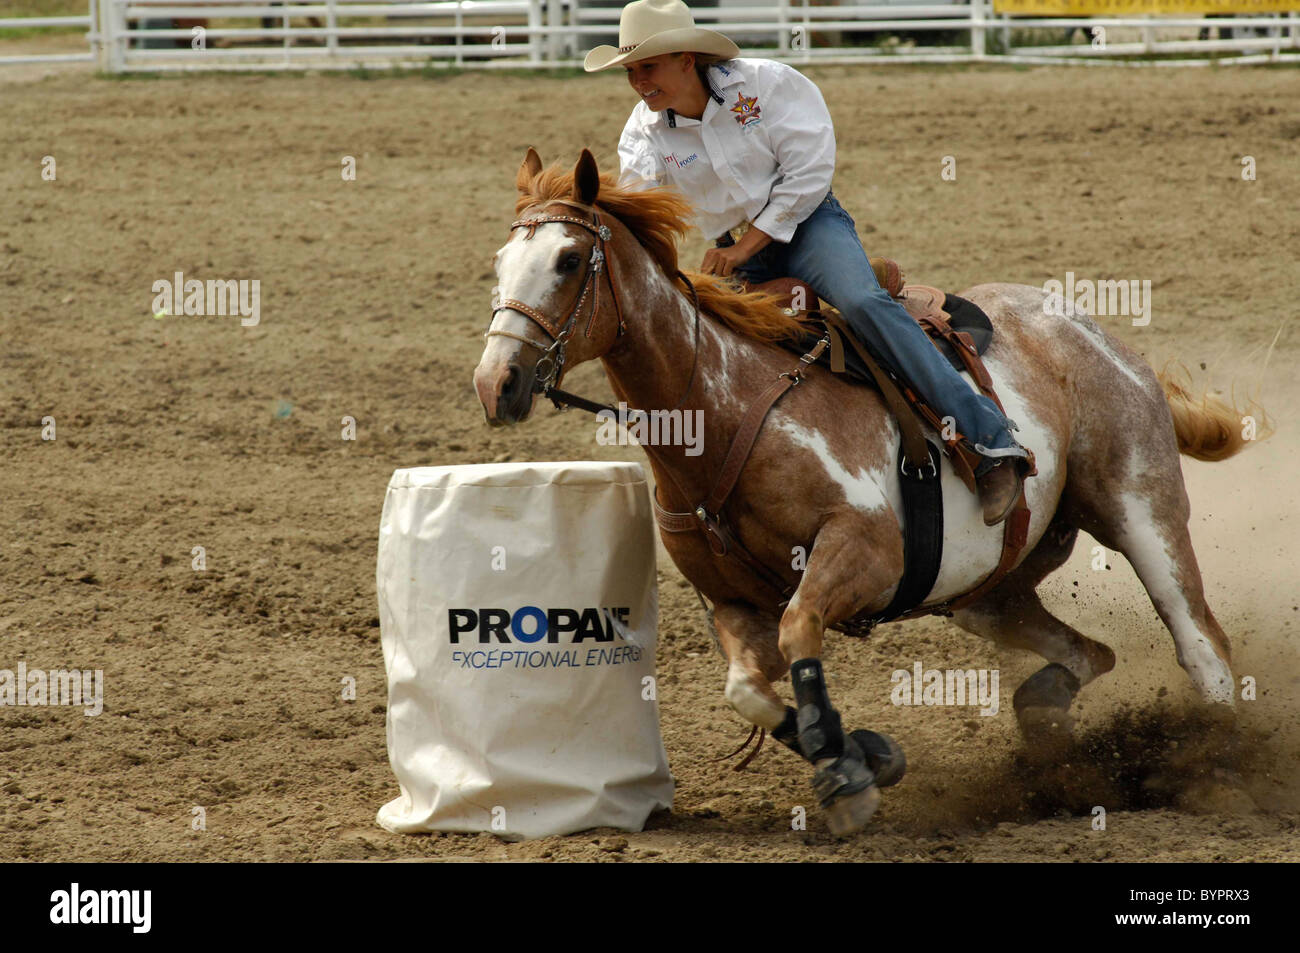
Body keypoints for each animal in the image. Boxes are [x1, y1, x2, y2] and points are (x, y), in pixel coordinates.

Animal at [474, 147, 1261, 835]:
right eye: (500, 264)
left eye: (568, 260)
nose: (495, 384)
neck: (728, 406)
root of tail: (1091, 329)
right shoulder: (728, 600)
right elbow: (747, 691)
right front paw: (864, 754)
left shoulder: (866, 552)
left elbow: (799, 630)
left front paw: (849, 775)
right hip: (985, 593)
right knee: (1087, 653)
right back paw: (1050, 723)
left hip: (1141, 508)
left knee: (1200, 641)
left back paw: (1216, 768)